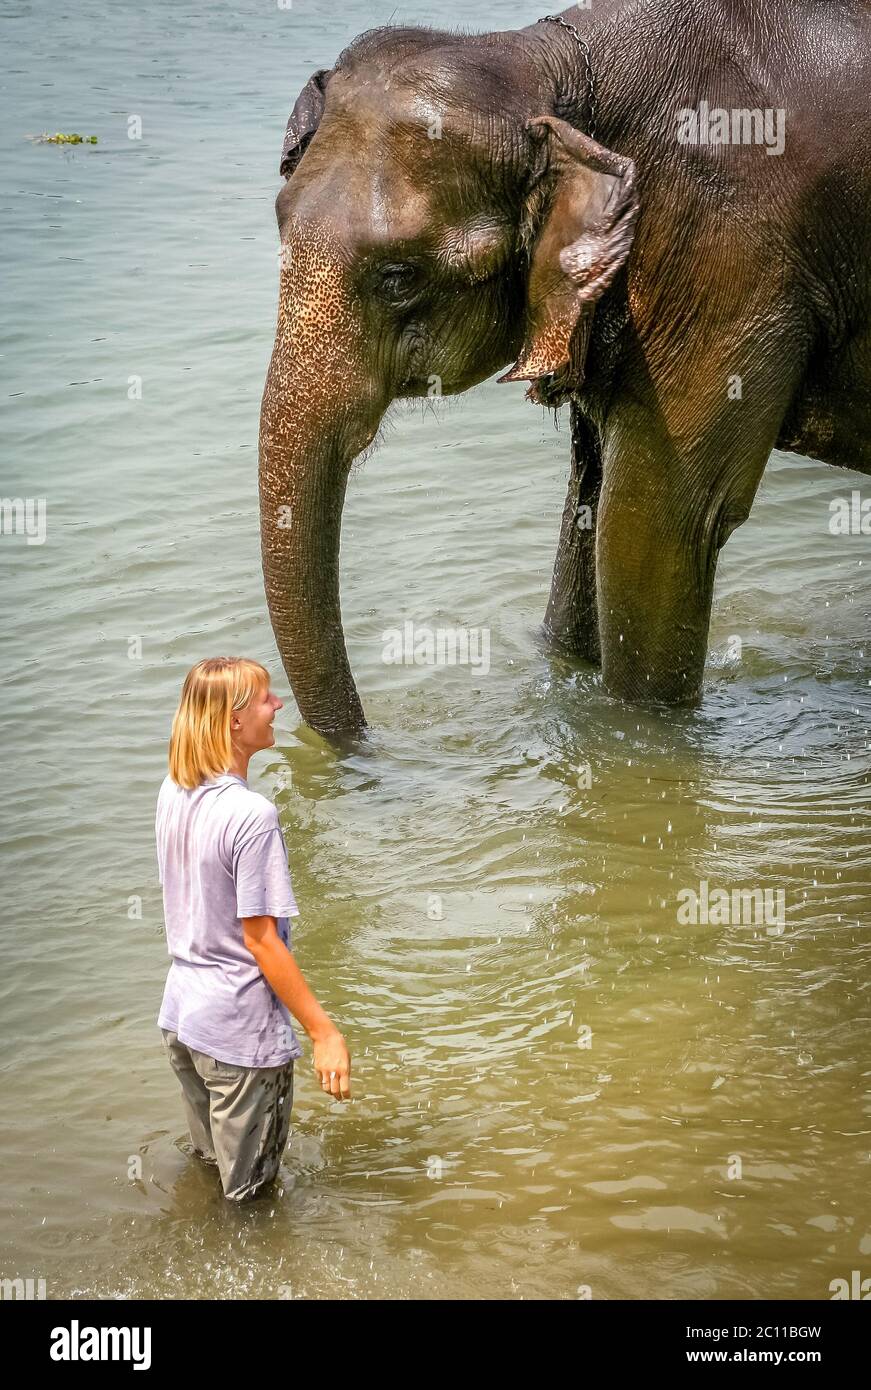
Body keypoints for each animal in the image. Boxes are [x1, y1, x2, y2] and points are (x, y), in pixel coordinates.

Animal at [259, 0, 870, 738]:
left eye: (398, 277)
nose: (367, 742)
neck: (551, 66)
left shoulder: (726, 264)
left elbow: (656, 527)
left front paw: (641, 740)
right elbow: (589, 494)